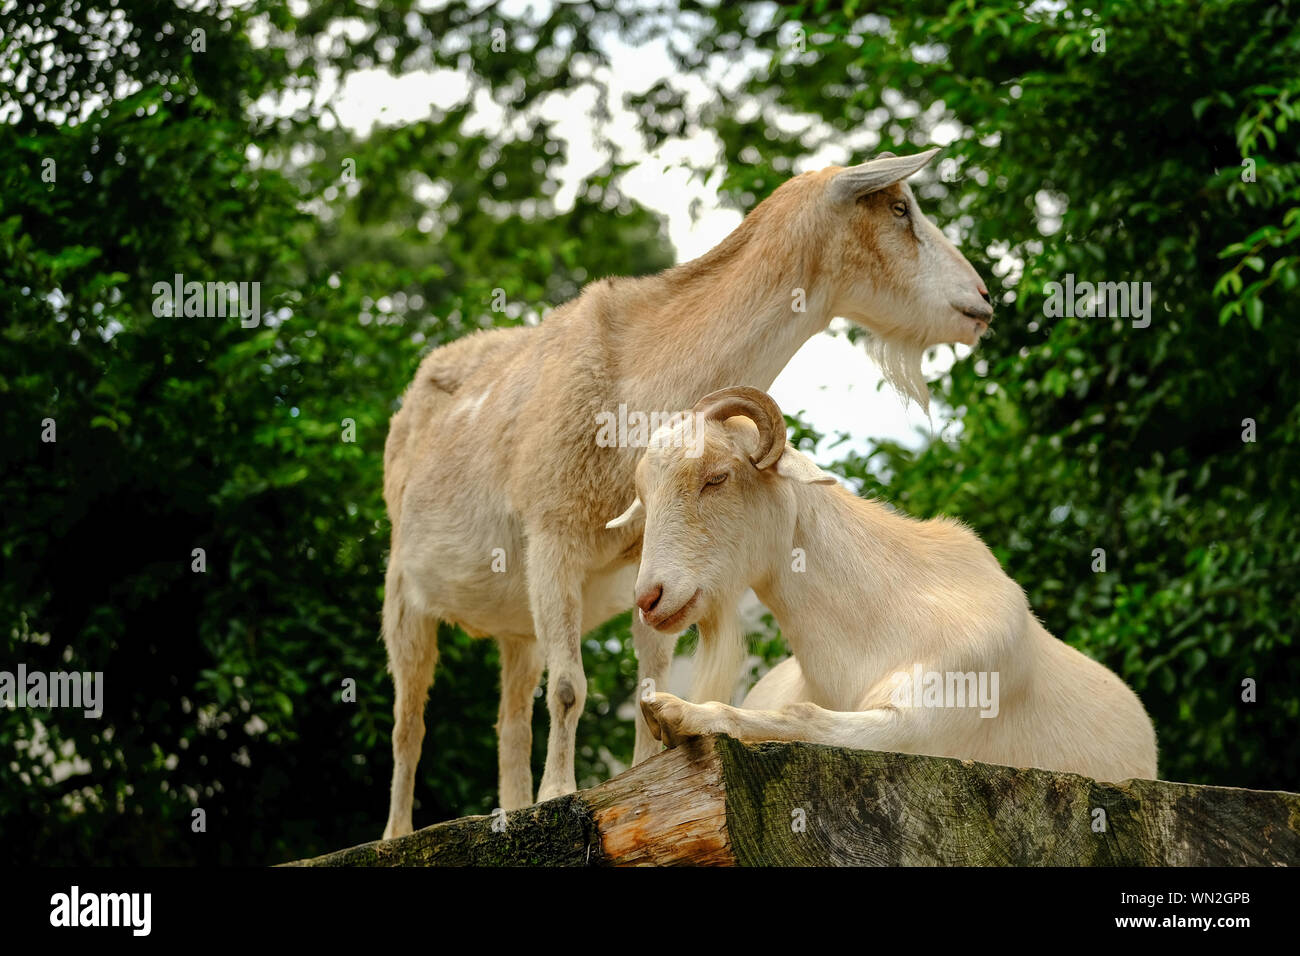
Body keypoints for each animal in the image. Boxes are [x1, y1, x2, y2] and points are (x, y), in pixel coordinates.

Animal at [381, 149, 996, 838]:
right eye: (898, 208)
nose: (983, 299)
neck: (633, 373)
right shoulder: (552, 531)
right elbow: (568, 687)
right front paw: (560, 795)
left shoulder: (652, 558)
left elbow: (647, 673)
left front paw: (645, 774)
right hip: (404, 594)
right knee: (409, 720)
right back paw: (398, 831)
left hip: (518, 628)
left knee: (509, 719)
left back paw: (509, 807)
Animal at [608, 386, 1159, 783]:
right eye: (645, 495)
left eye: (717, 478)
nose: (649, 599)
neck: (878, 625)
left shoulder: (918, 726)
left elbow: (804, 717)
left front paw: (679, 712)